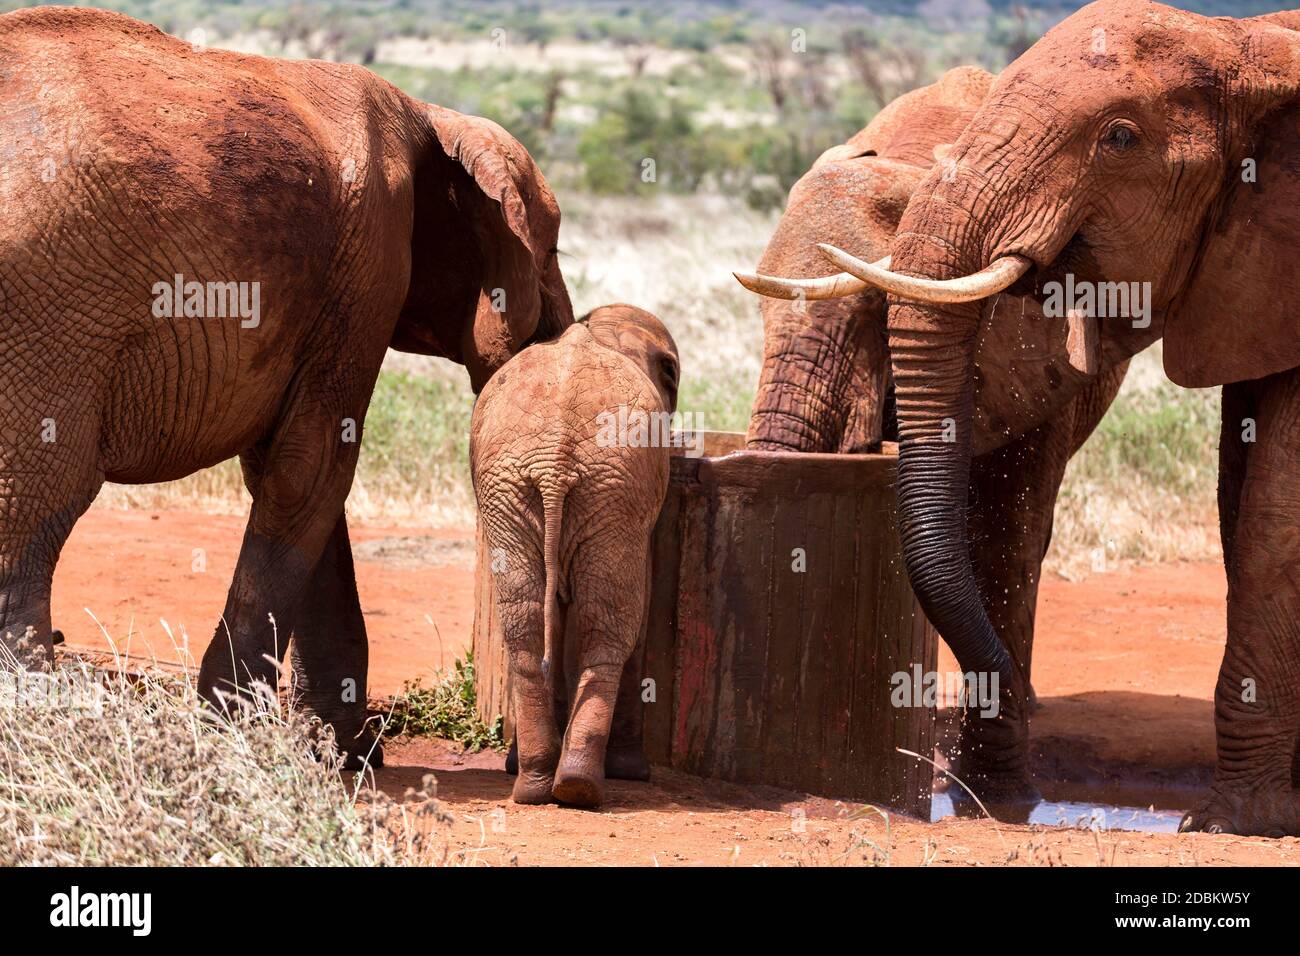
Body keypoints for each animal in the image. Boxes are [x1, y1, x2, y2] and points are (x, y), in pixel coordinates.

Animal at [0, 7, 572, 765]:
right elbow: (314, 467)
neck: (433, 116)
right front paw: (238, 740)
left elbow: (289, 470)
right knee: (35, 512)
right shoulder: (369, 269)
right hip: (47, 321)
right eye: (554, 248)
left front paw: (342, 752)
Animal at [470, 304, 679, 807]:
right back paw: (584, 786)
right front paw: (630, 772)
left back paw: (538, 784)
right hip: (606, 488)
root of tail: (555, 460)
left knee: (526, 622)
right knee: (609, 624)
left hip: (518, 489)